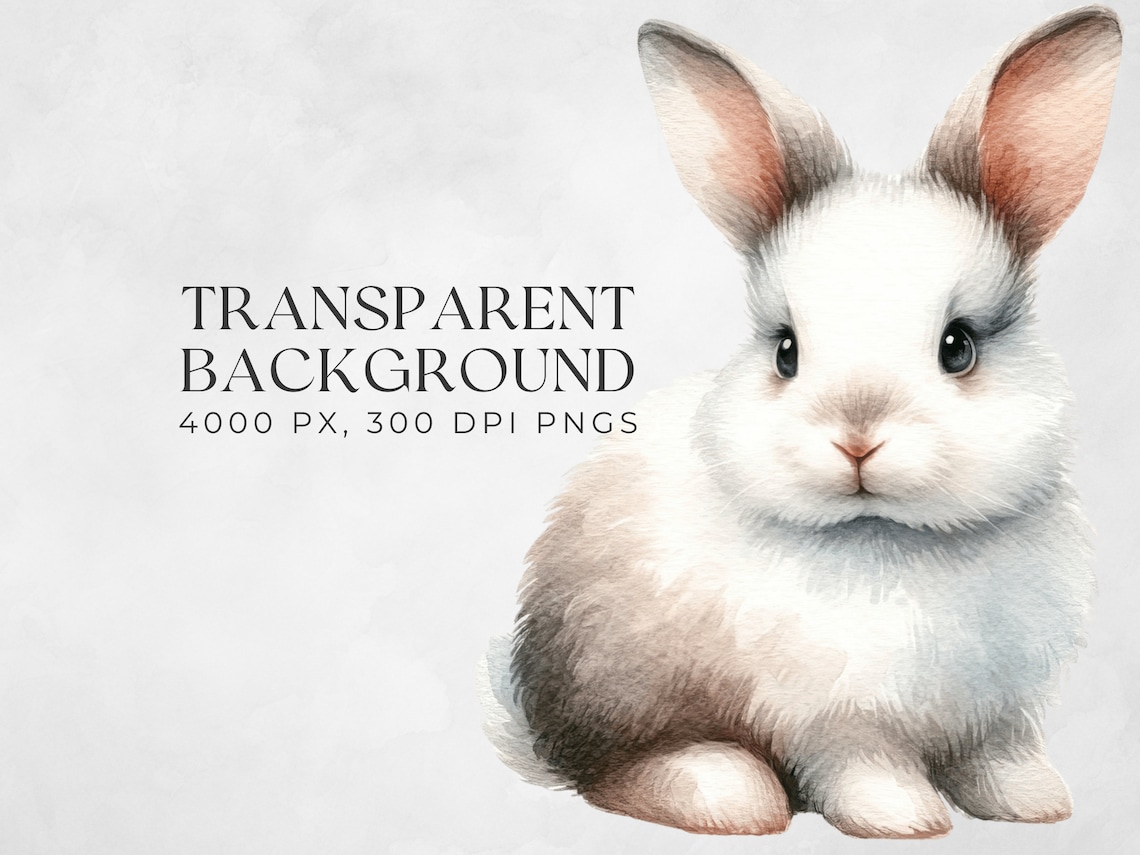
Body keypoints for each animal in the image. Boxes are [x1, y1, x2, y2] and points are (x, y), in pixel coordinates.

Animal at [482, 6, 1121, 839]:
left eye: (959, 346)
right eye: (786, 349)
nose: (857, 438)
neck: (888, 535)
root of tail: (531, 707)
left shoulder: (997, 710)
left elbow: (998, 754)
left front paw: (1034, 801)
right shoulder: (837, 719)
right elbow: (863, 766)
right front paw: (906, 820)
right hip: (622, 682)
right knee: (609, 768)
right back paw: (727, 790)